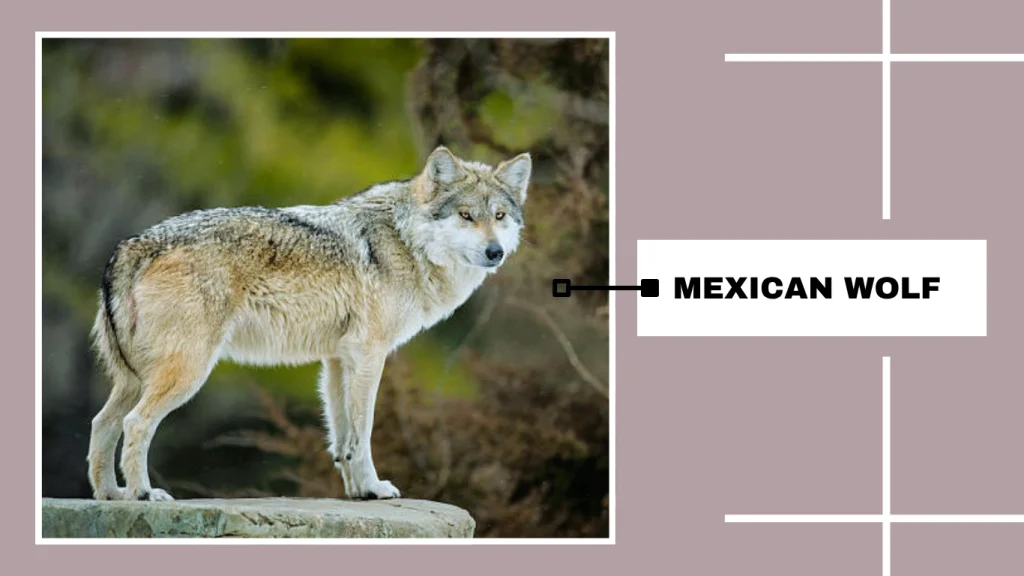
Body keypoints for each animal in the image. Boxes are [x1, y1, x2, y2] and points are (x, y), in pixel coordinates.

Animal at [86, 146, 530, 501]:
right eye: (466, 216)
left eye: (499, 216)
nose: (495, 252)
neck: (406, 241)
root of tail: (134, 244)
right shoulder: (368, 355)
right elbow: (363, 431)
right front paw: (375, 487)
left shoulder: (337, 359)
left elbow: (342, 437)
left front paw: (358, 492)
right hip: (187, 373)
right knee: (134, 423)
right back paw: (143, 494)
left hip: (135, 379)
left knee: (102, 423)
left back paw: (111, 496)